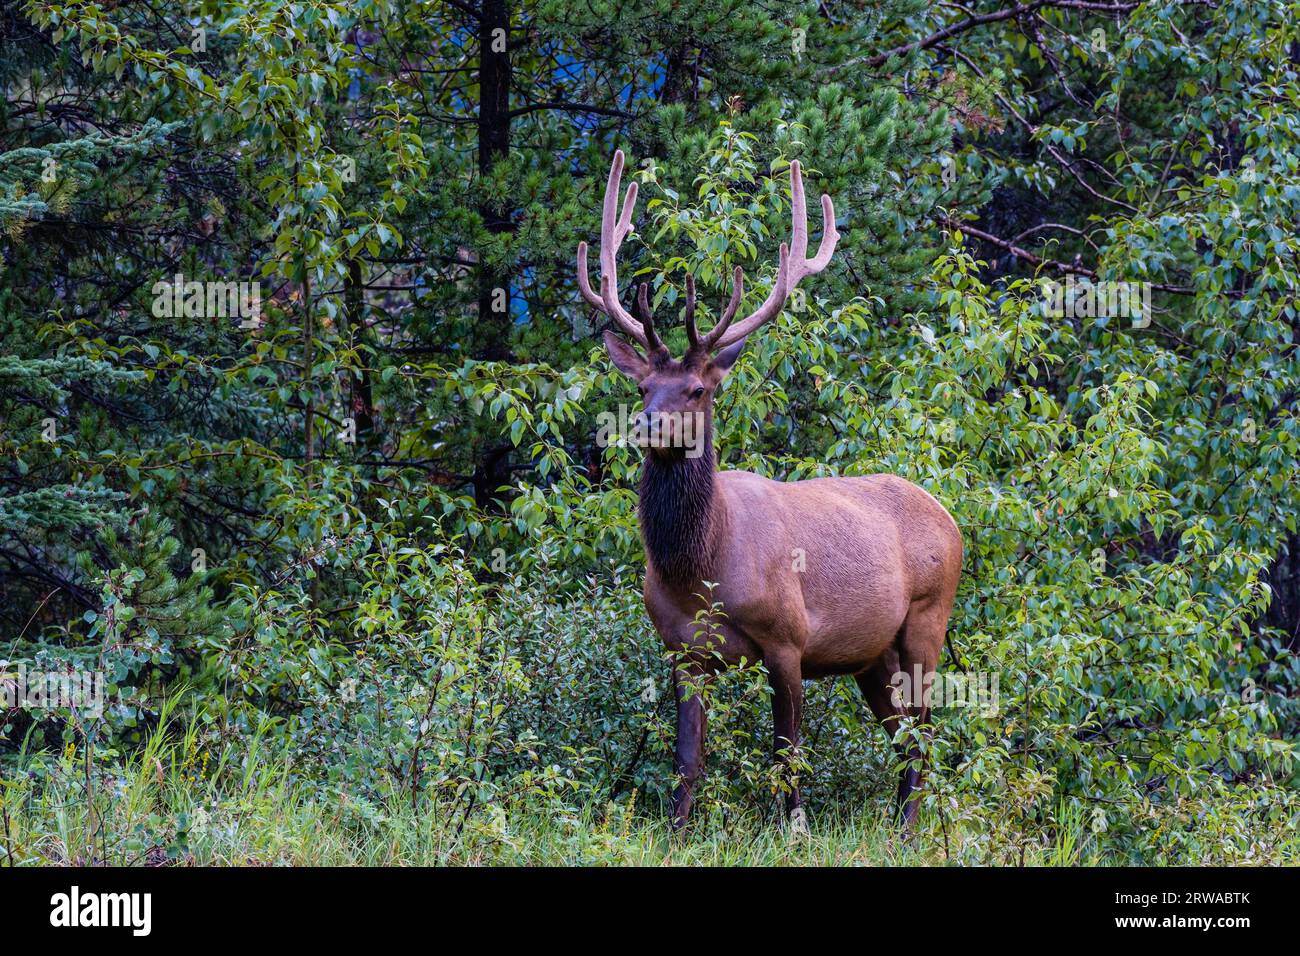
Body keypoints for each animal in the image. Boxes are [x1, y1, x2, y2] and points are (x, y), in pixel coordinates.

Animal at [578, 149, 963, 832]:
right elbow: (688, 757)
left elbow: (788, 752)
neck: (703, 566)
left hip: (927, 619)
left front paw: (796, 830)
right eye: (643, 386)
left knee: (922, 732)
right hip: (872, 656)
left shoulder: (789, 640)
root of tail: (949, 516)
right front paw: (675, 832)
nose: (645, 425)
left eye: (697, 389)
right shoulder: (684, 651)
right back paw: (899, 824)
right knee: (901, 733)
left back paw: (910, 830)